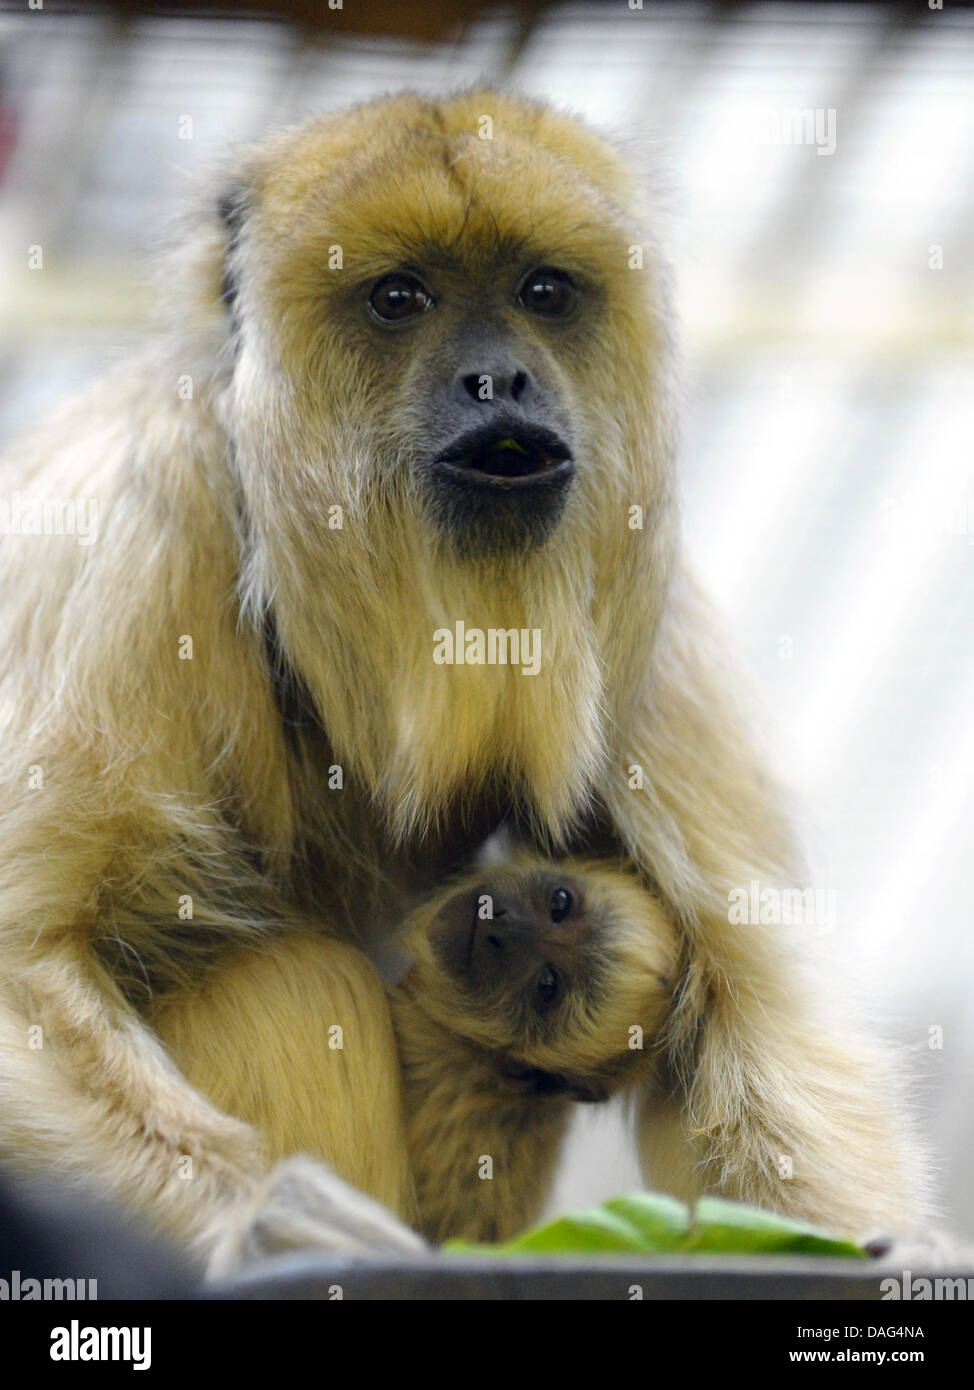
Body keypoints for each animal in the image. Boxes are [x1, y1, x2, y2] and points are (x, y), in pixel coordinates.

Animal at [0, 89, 926, 1276]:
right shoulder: (125, 523)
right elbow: (23, 968)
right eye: (400, 298)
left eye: (543, 292)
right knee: (296, 985)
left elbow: (764, 1028)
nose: (500, 377)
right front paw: (267, 1224)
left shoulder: (646, 605)